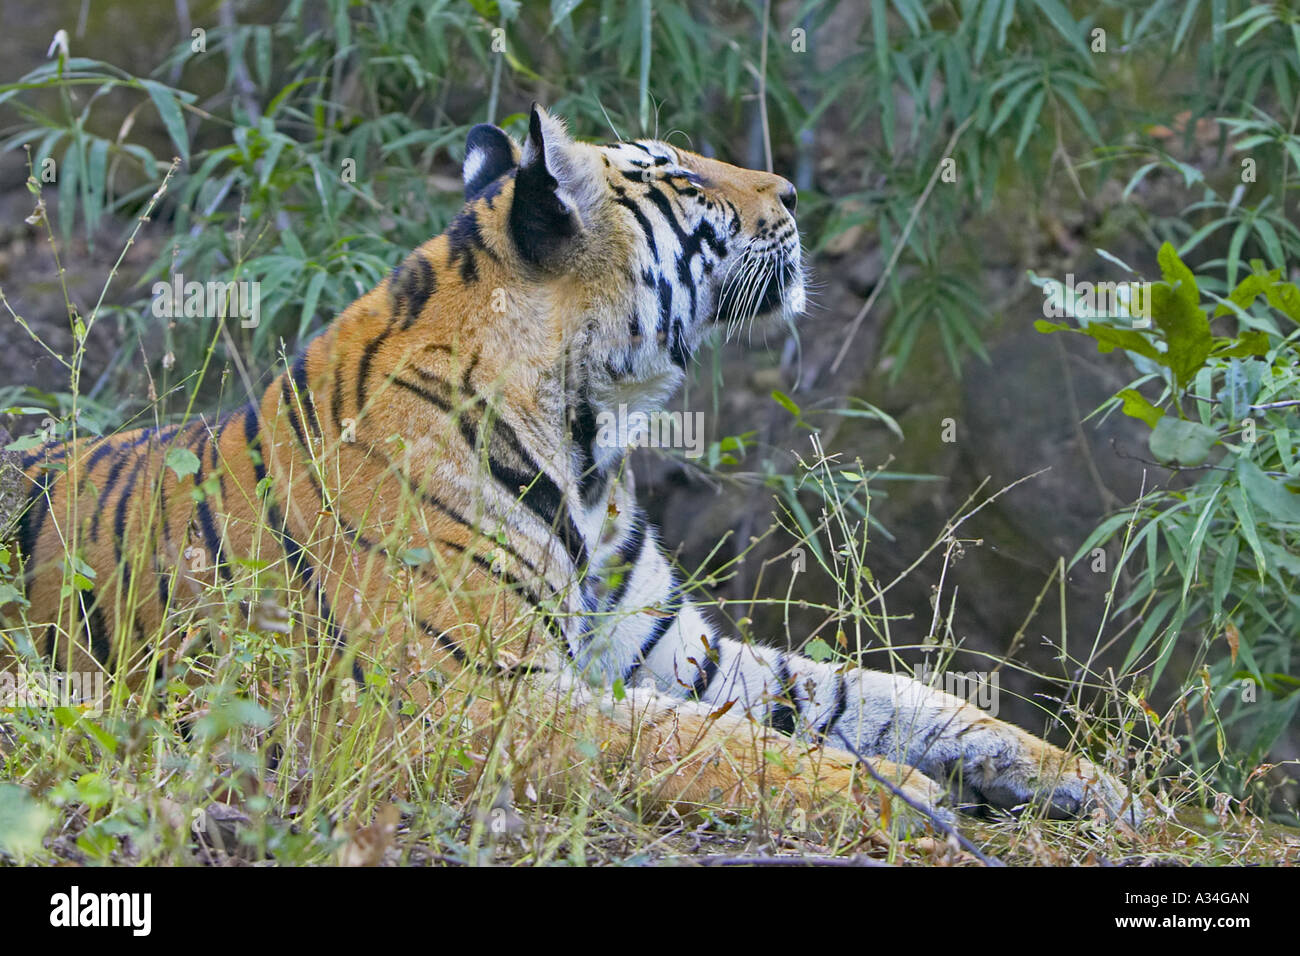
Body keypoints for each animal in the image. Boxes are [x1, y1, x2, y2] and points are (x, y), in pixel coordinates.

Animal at [2, 105, 1141, 835]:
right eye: (682, 174)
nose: (789, 189)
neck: (594, 438)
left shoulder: (673, 651)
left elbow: (888, 694)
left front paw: (1093, 781)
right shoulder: (468, 698)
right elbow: (702, 745)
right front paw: (900, 796)